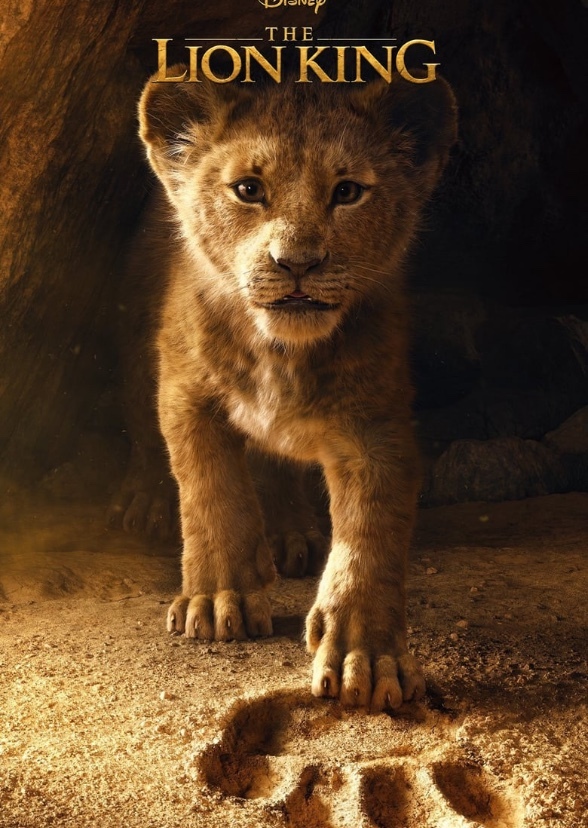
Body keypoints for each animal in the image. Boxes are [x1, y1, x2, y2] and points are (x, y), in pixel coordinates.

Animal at [114, 67, 456, 712]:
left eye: (348, 192)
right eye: (248, 189)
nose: (297, 262)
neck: (281, 351)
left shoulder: (376, 425)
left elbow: (370, 535)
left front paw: (365, 657)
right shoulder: (186, 392)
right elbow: (211, 493)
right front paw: (217, 600)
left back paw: (289, 532)